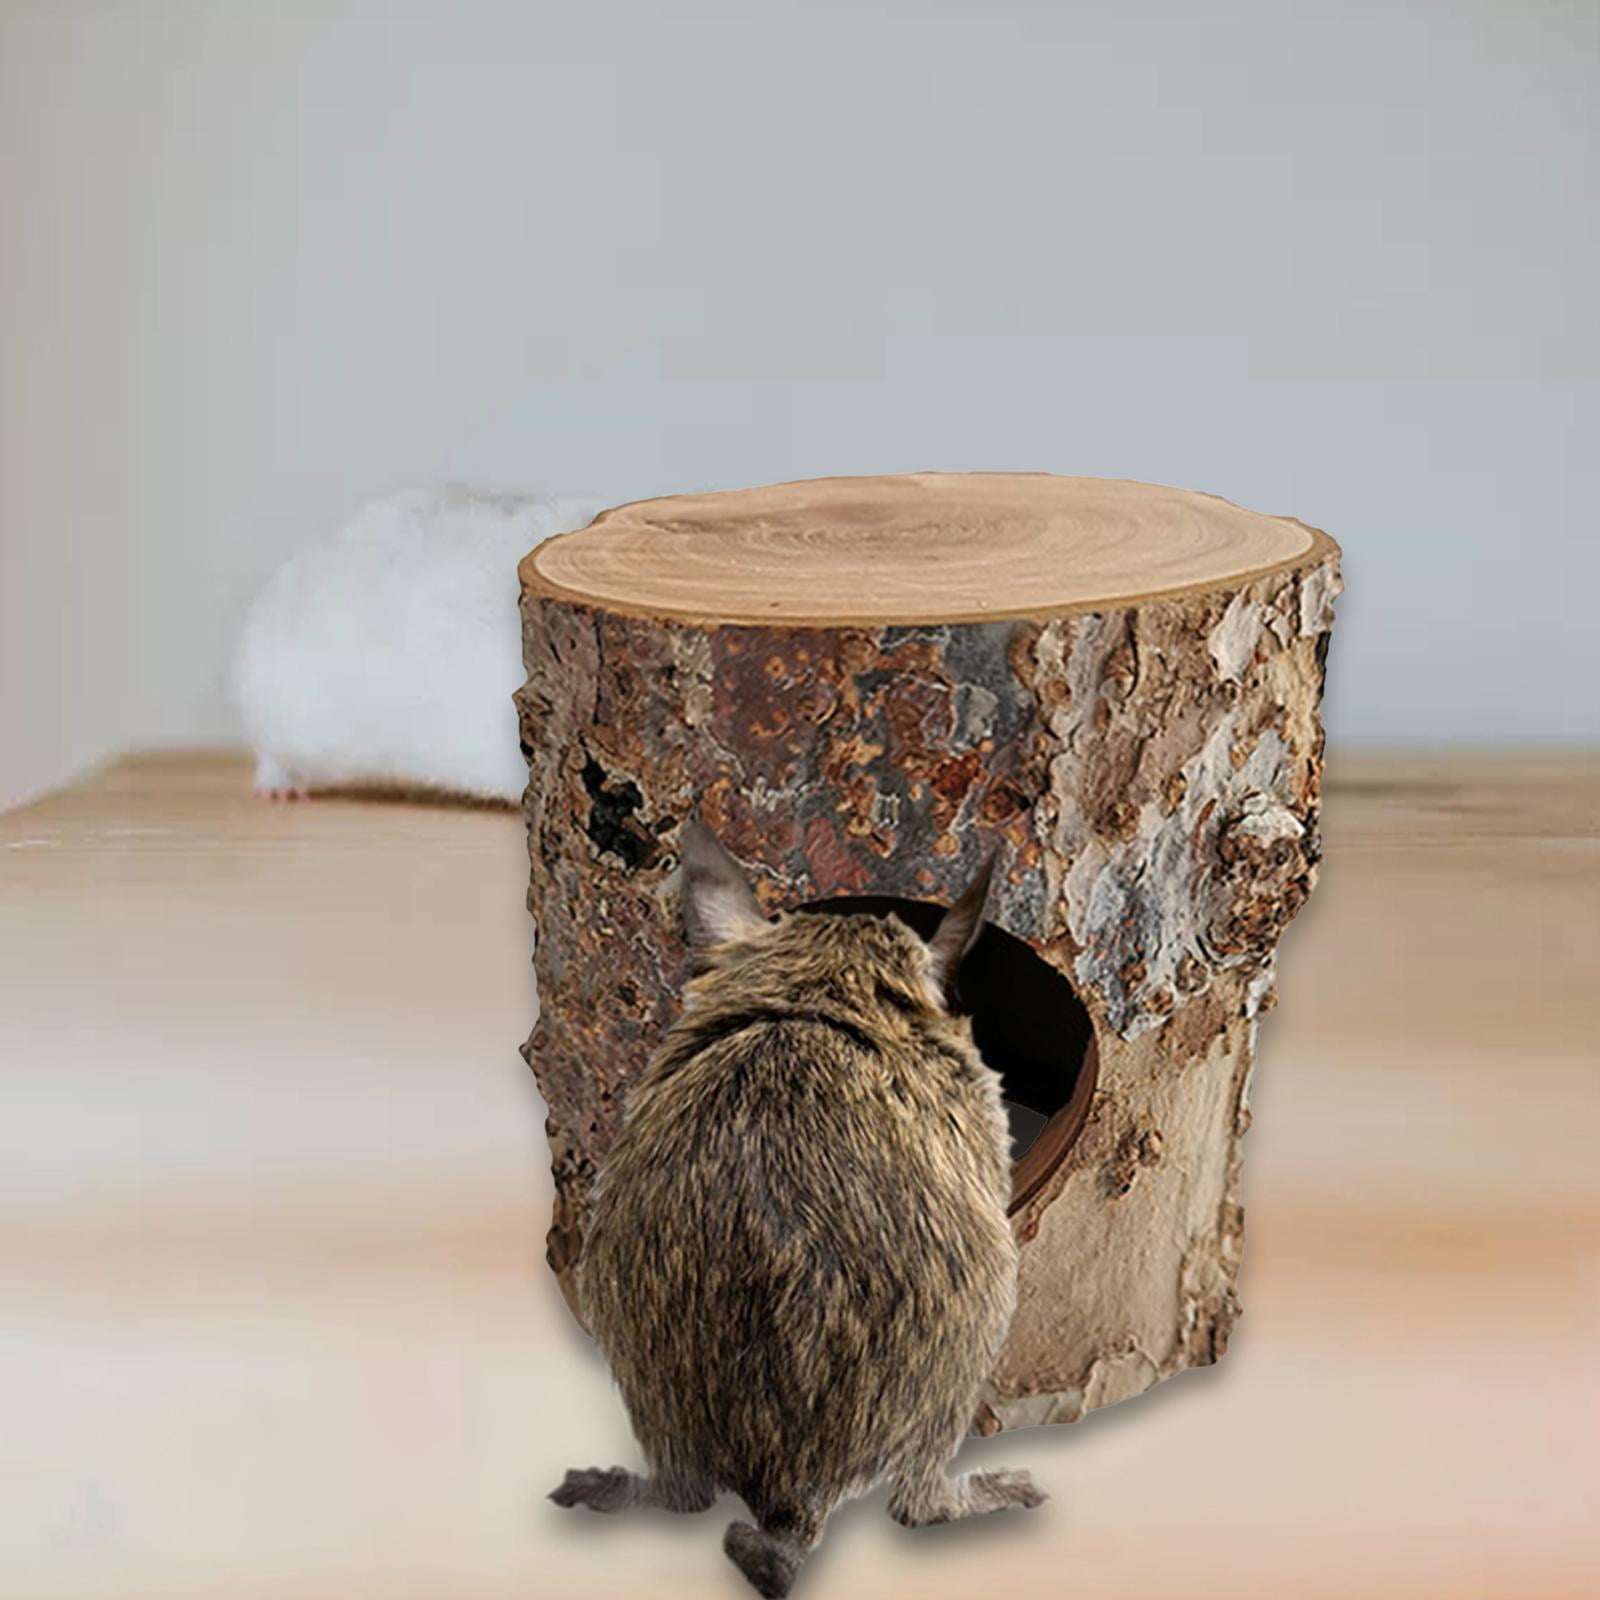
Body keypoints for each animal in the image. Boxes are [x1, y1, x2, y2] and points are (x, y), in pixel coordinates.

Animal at [551, 823, 1045, 1597]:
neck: (817, 989)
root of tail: (792, 1497)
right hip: (979, 1332)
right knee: (916, 1504)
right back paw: (1007, 1489)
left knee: (681, 1493)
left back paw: (599, 1488)